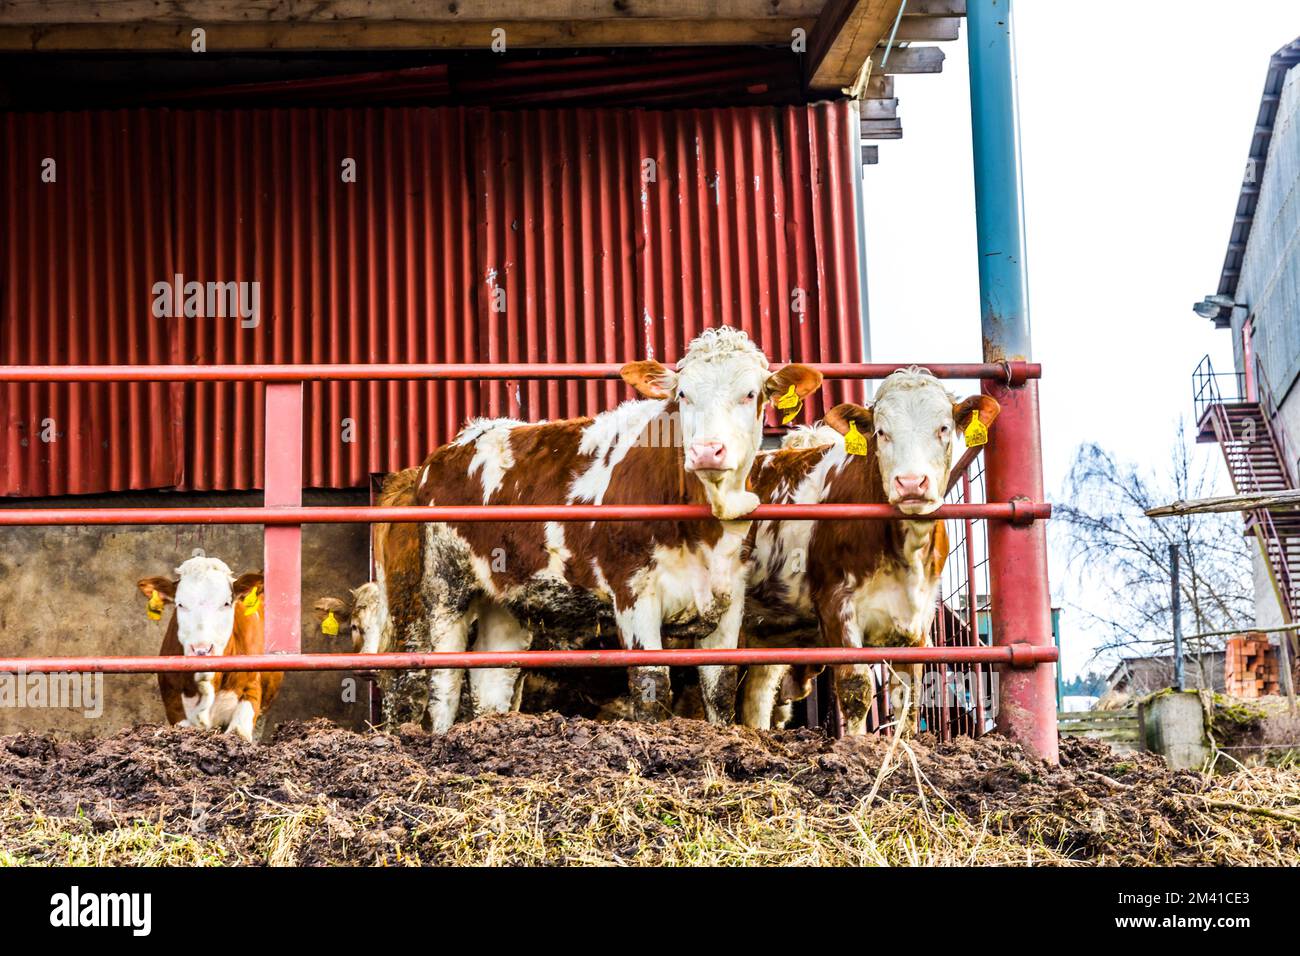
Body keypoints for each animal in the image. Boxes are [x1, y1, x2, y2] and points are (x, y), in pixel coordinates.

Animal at [137, 555, 283, 741]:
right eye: (180, 604)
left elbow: (239, 732)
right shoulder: (173, 701)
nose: (202, 649)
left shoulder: (251, 689)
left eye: (227, 603)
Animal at [388, 327, 822, 732]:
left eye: (750, 394)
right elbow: (651, 685)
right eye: (683, 395)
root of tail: (460, 441)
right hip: (445, 584)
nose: (706, 451)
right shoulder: (632, 591)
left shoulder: (728, 595)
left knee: (492, 677)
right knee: (443, 678)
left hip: (507, 597)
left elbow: (720, 686)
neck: (704, 524)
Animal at [740, 367, 999, 735]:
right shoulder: (836, 604)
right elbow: (856, 687)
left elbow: (909, 694)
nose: (911, 483)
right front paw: (856, 743)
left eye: (944, 428)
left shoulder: (918, 618)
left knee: (758, 691)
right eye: (881, 432)